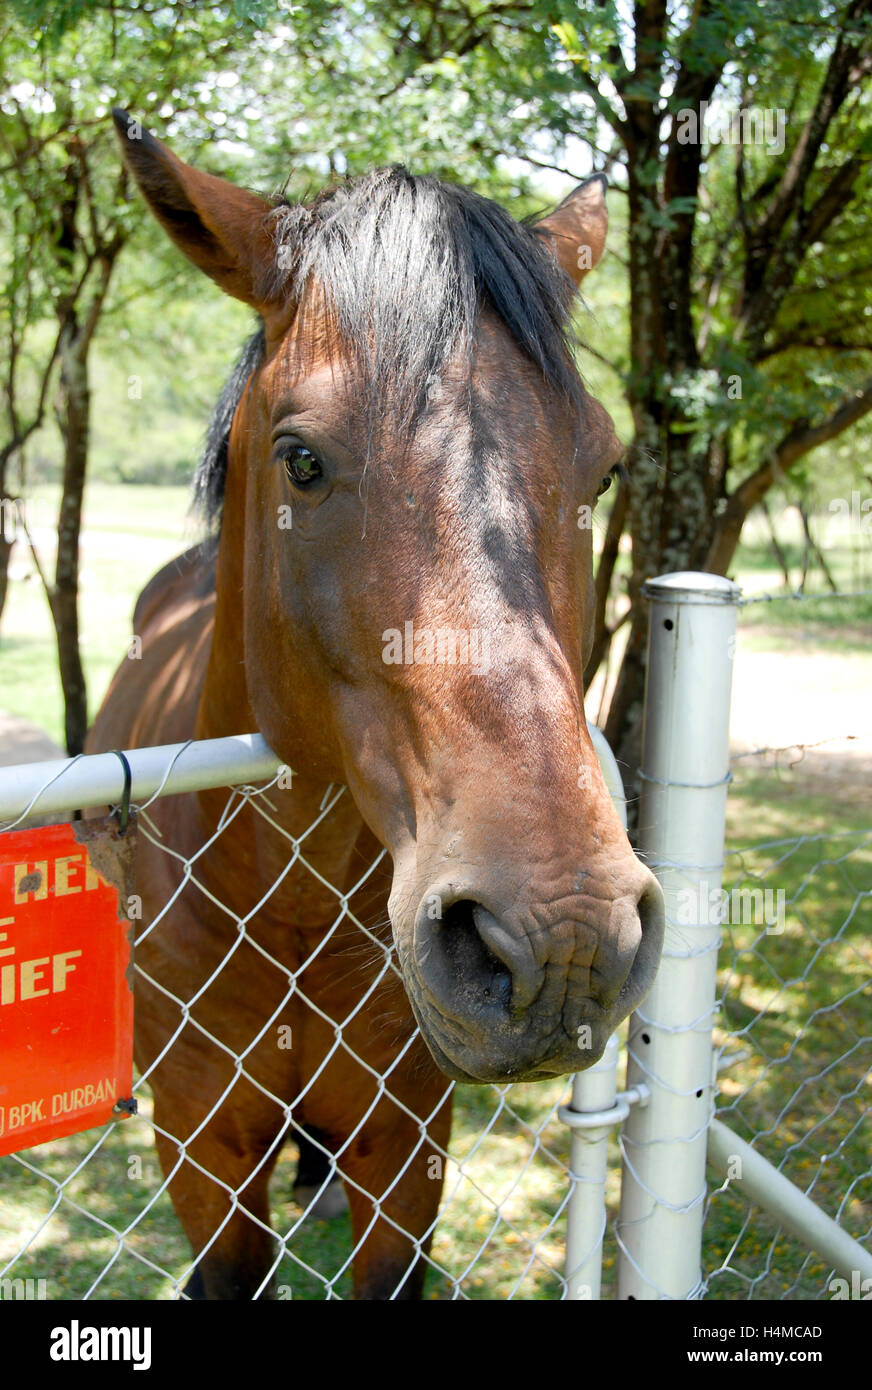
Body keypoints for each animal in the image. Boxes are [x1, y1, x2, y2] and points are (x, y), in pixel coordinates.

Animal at [87, 109, 665, 1300]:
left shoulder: (407, 1144)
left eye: (601, 471)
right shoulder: (201, 1150)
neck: (286, 908)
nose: (563, 937)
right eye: (300, 459)